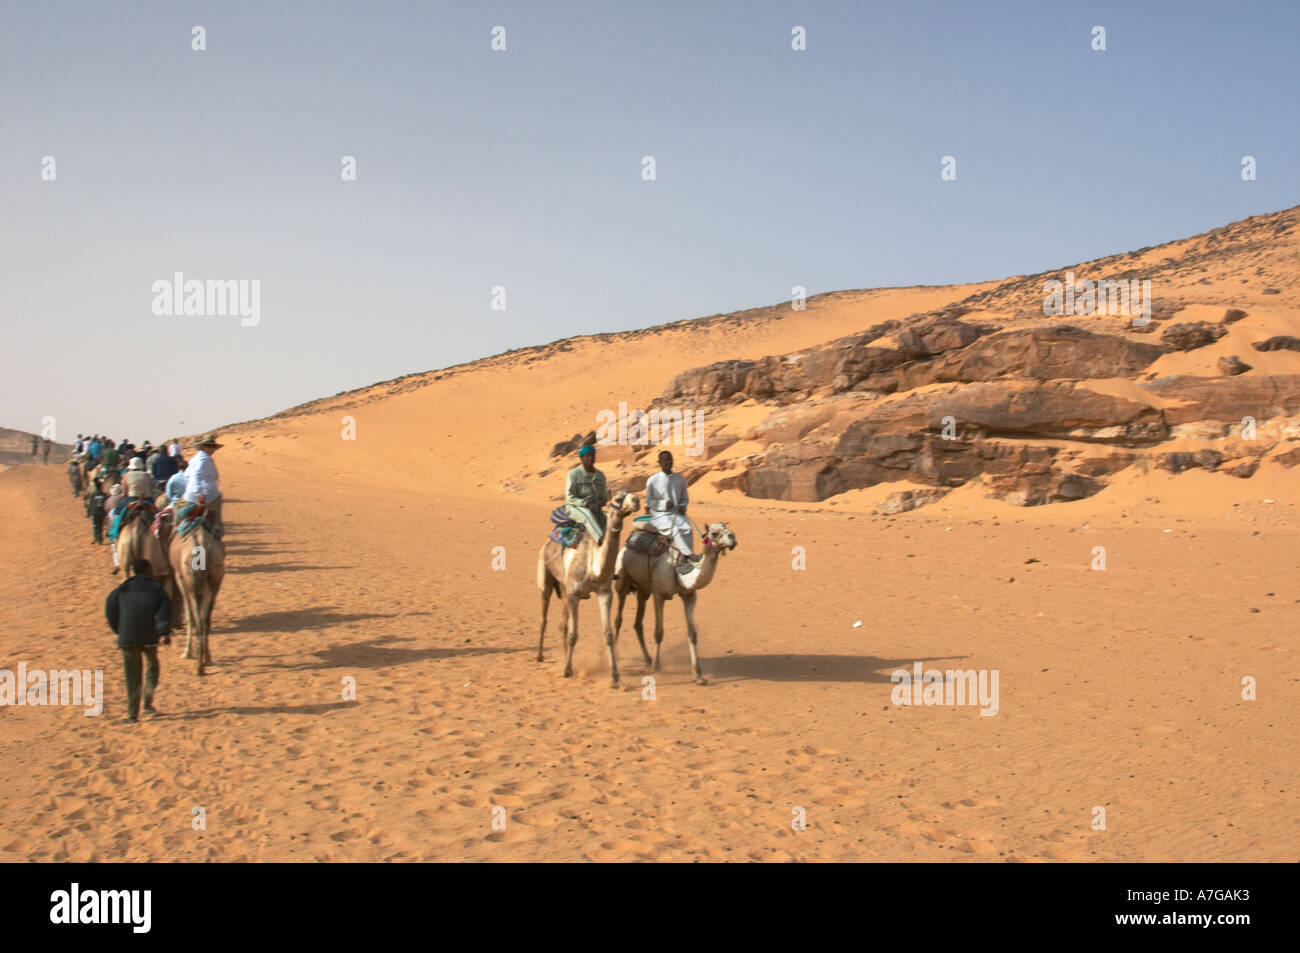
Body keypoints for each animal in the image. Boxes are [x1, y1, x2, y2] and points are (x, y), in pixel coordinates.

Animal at [168, 520, 225, 676]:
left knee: (199, 621)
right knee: (206, 621)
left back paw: (199, 667)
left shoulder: (180, 577)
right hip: (215, 580)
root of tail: (203, 543)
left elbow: (189, 614)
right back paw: (207, 659)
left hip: (191, 580)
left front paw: (187, 652)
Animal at [537, 492, 639, 687]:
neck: (594, 568)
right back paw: (540, 656)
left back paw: (566, 658)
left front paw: (615, 677)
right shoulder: (574, 594)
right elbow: (573, 634)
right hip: (546, 575)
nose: (636, 500)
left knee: (562, 624)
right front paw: (567, 671)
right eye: (617, 498)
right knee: (544, 617)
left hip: (564, 588)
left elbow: (608, 635)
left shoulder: (604, 593)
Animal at [613, 521, 738, 685]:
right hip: (622, 580)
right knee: (618, 619)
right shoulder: (659, 595)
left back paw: (647, 659)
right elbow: (659, 632)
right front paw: (657, 666)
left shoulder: (689, 596)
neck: (682, 573)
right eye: (715, 533)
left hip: (643, 588)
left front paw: (698, 674)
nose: (733, 538)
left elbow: (692, 633)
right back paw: (616, 656)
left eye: (727, 529)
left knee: (638, 623)